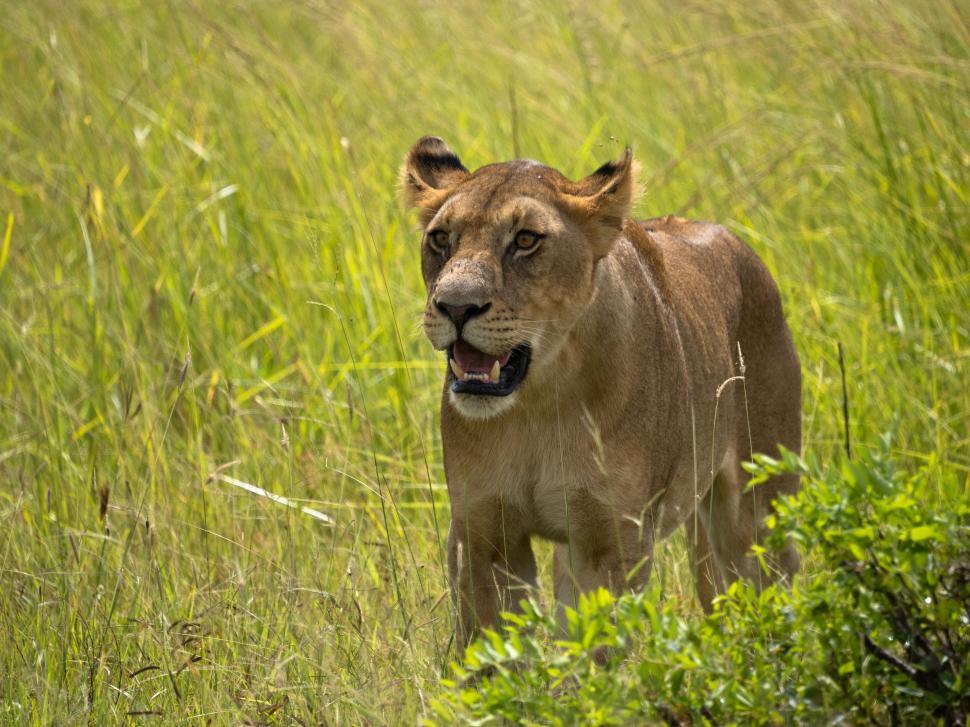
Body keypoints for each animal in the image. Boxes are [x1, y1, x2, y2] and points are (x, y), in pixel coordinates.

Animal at [401, 136, 801, 647]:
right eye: (440, 238)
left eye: (526, 240)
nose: (454, 306)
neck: (537, 405)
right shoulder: (481, 535)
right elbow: (493, 650)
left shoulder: (609, 543)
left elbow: (592, 651)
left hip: (757, 510)